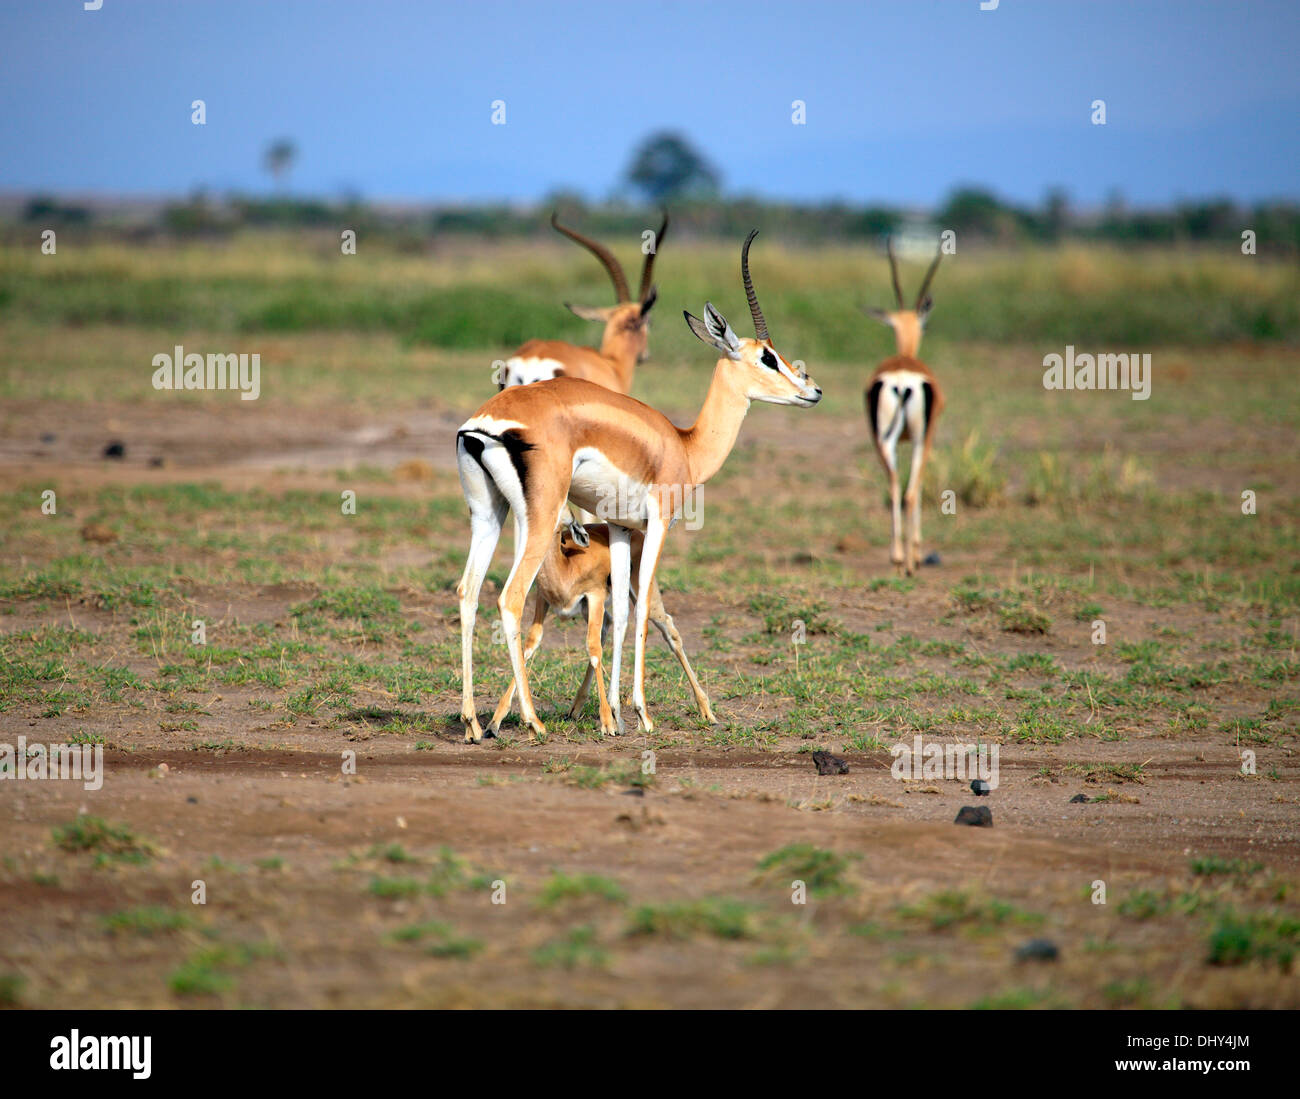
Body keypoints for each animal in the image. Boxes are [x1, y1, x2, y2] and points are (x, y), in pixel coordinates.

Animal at [485, 516, 717, 736]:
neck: (566, 567)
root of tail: (636, 533)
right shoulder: (543, 600)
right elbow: (529, 646)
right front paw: (494, 723)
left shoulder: (594, 595)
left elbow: (594, 648)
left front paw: (608, 723)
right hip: (591, 610)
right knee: (609, 626)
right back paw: (575, 709)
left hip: (643, 597)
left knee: (669, 630)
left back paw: (707, 712)